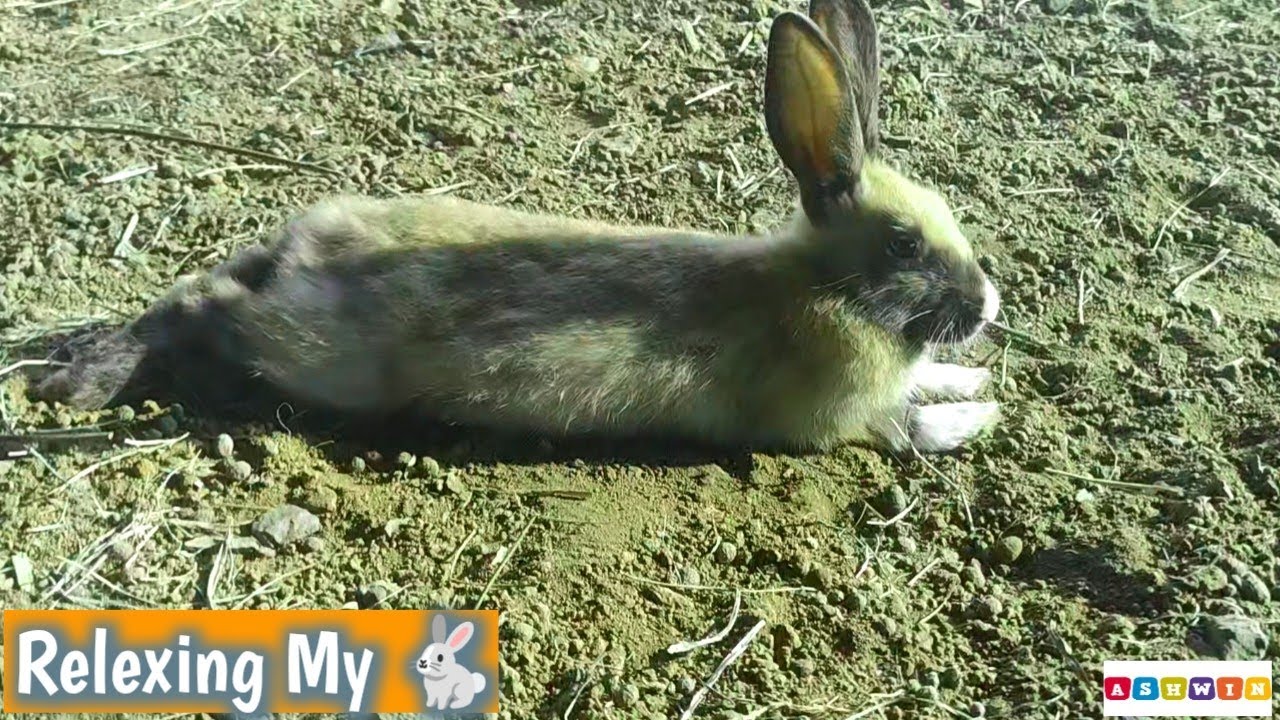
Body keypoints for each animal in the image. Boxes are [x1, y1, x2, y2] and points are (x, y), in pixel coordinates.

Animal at [34, 0, 1001, 454]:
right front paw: (979, 414)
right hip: (310, 353)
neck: (823, 289)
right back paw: (78, 381)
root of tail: (295, 256)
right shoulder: (833, 421)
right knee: (196, 311)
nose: (989, 306)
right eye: (905, 244)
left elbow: (928, 378)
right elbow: (904, 428)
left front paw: (971, 377)